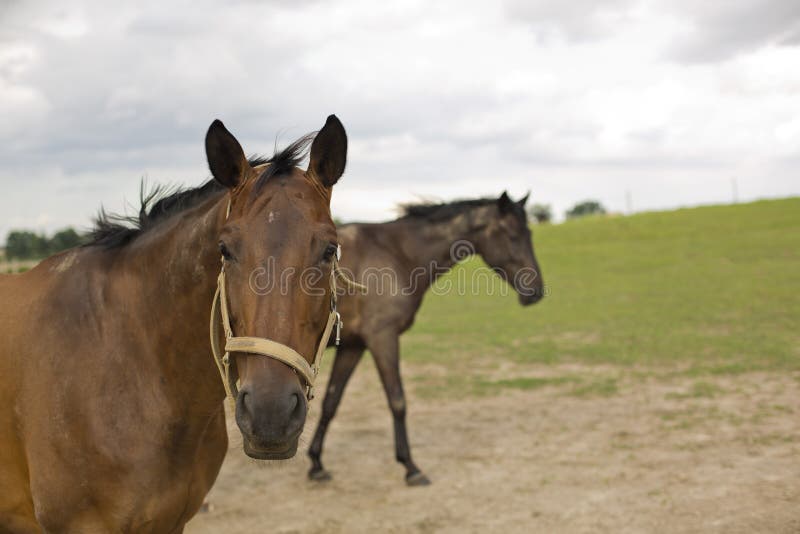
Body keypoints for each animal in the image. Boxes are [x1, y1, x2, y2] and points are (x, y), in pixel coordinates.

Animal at [307, 192, 544, 486]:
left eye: (529, 233)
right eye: (512, 235)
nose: (536, 291)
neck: (396, 253)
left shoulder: (353, 345)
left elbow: (331, 402)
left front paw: (316, 462)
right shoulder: (383, 339)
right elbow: (397, 401)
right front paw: (410, 466)